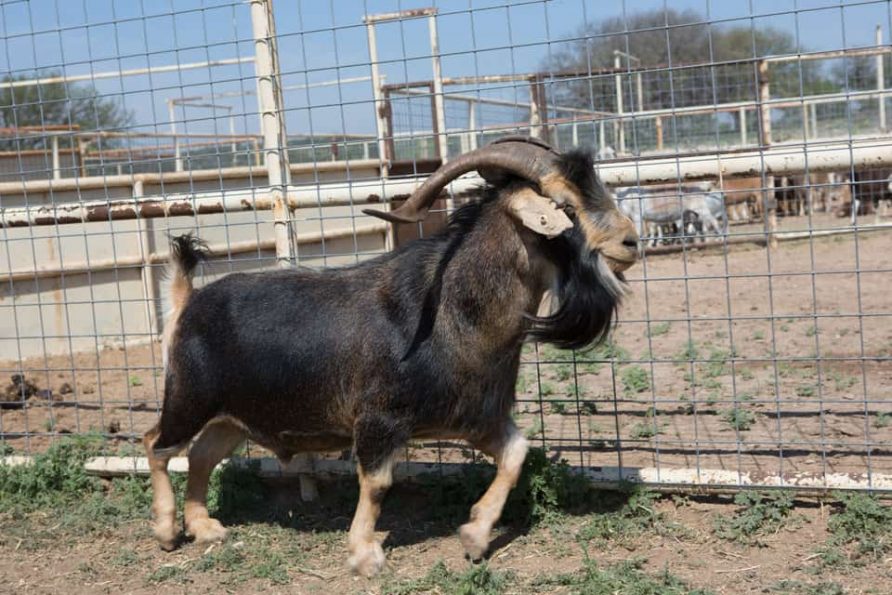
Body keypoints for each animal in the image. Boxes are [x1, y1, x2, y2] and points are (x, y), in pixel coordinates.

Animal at [143, 137, 639, 577]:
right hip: (189, 398)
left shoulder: (474, 419)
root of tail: (187, 301)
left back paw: (206, 529)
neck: (449, 310)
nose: (631, 241)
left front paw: (475, 537)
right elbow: (378, 484)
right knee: (157, 444)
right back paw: (167, 533)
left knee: (202, 454)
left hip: (233, 417)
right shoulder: (379, 421)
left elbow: (516, 454)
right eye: (565, 205)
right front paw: (366, 557)